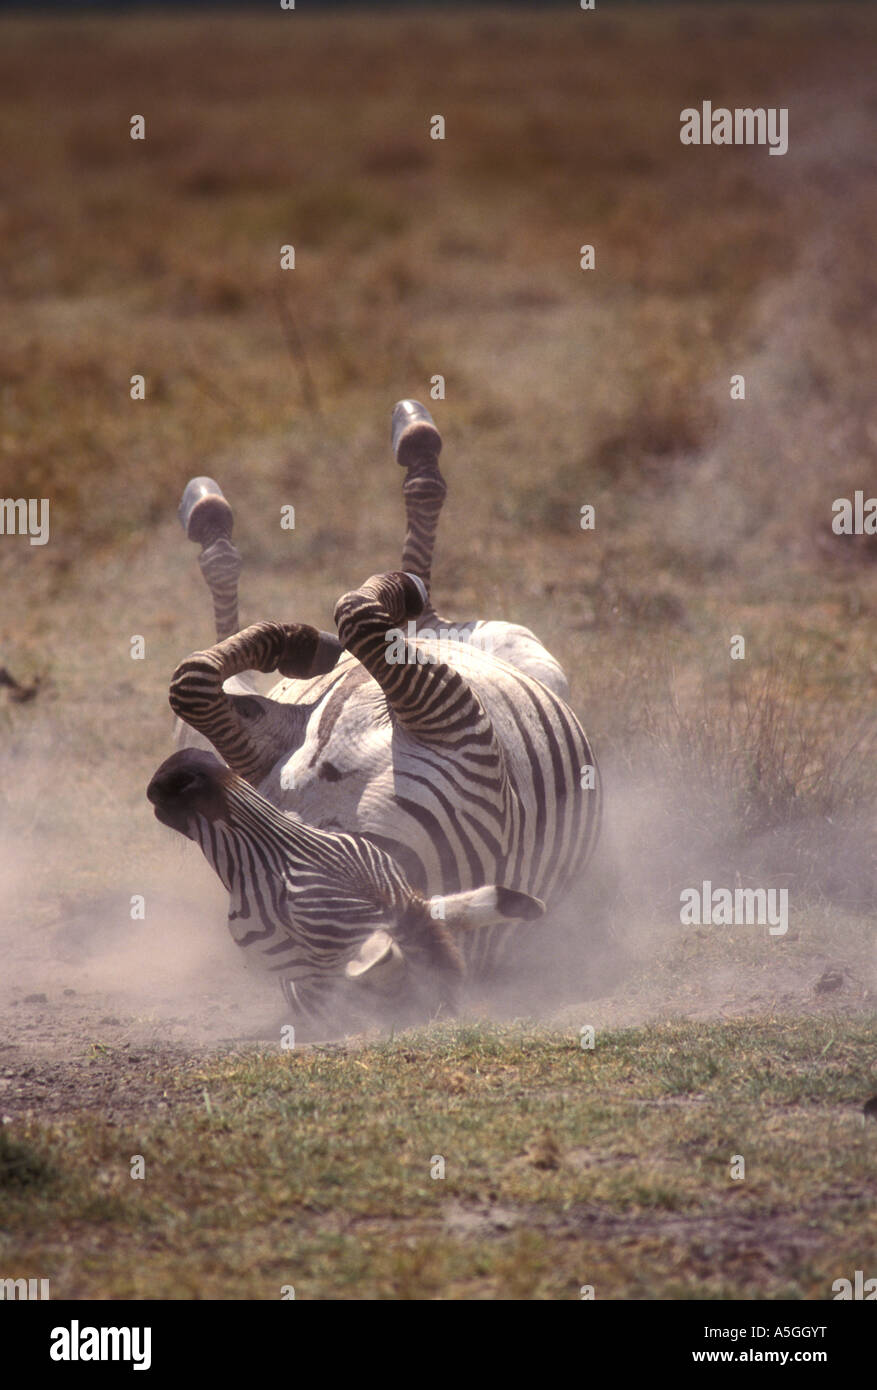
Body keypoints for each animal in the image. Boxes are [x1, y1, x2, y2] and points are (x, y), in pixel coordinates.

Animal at [147, 401, 602, 1029]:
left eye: (273, 894)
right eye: (255, 897)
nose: (172, 782)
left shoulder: (438, 712)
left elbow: (210, 673)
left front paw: (305, 638)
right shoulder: (272, 750)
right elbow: (200, 678)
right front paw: (306, 639)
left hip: (511, 655)